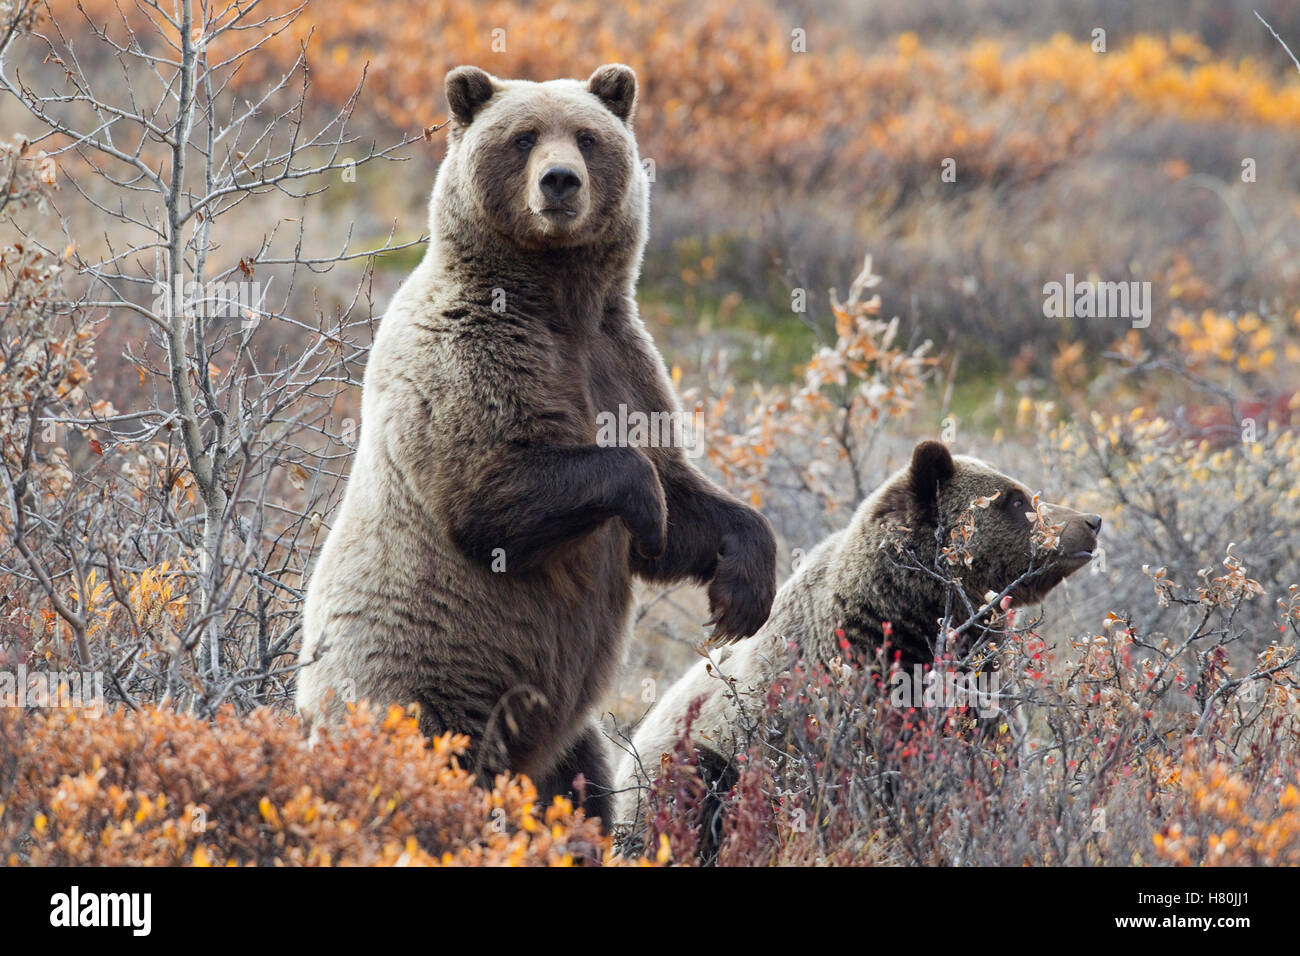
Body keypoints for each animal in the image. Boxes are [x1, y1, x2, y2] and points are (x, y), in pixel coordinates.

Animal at [295, 64, 777, 827]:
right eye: (522, 137)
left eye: (586, 135)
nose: (559, 181)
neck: (556, 303)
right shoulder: (466, 356)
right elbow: (493, 492)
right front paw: (646, 512)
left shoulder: (623, 361)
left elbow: (683, 494)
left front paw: (741, 593)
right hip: (412, 692)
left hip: (564, 739)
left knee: (582, 787)